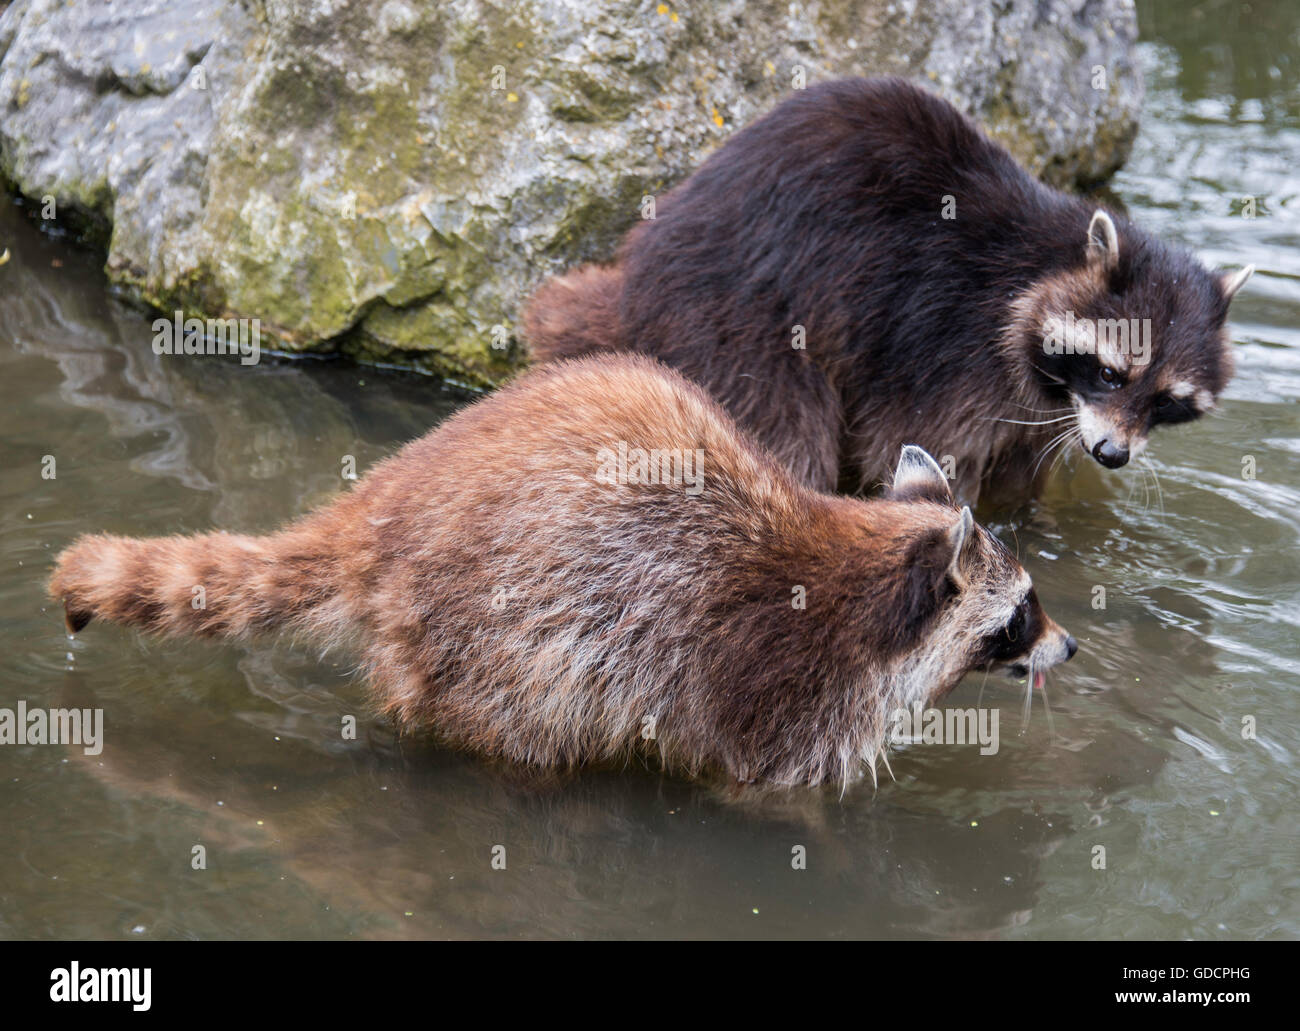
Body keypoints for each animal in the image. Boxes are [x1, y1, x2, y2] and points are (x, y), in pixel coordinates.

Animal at [49, 355, 1074, 788]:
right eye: (1022, 612)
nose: (1067, 646)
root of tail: (387, 506)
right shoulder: (776, 675)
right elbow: (760, 785)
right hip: (499, 633)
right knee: (525, 719)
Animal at [523, 77, 1254, 505]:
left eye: (1165, 400)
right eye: (1108, 372)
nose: (1111, 455)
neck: (1042, 261)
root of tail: (638, 273)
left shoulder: (1040, 414)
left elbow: (1022, 480)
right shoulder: (948, 349)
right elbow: (923, 456)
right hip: (740, 313)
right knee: (786, 430)